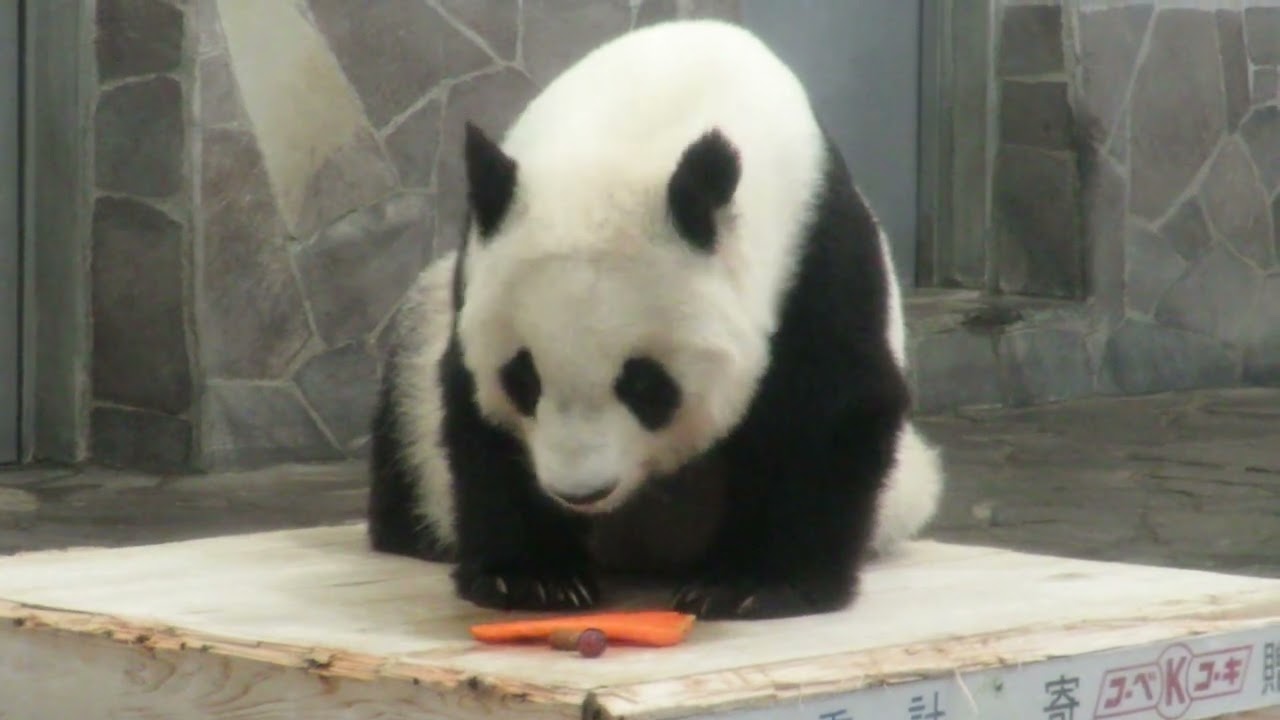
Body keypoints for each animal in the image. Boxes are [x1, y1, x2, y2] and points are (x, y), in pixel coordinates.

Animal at [367, 18, 944, 621]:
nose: (582, 493)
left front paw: (753, 584)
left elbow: (826, 407)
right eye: (522, 378)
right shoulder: (473, 275)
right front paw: (531, 578)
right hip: (423, 334)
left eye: (646, 384)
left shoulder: (815, 246)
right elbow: (475, 416)